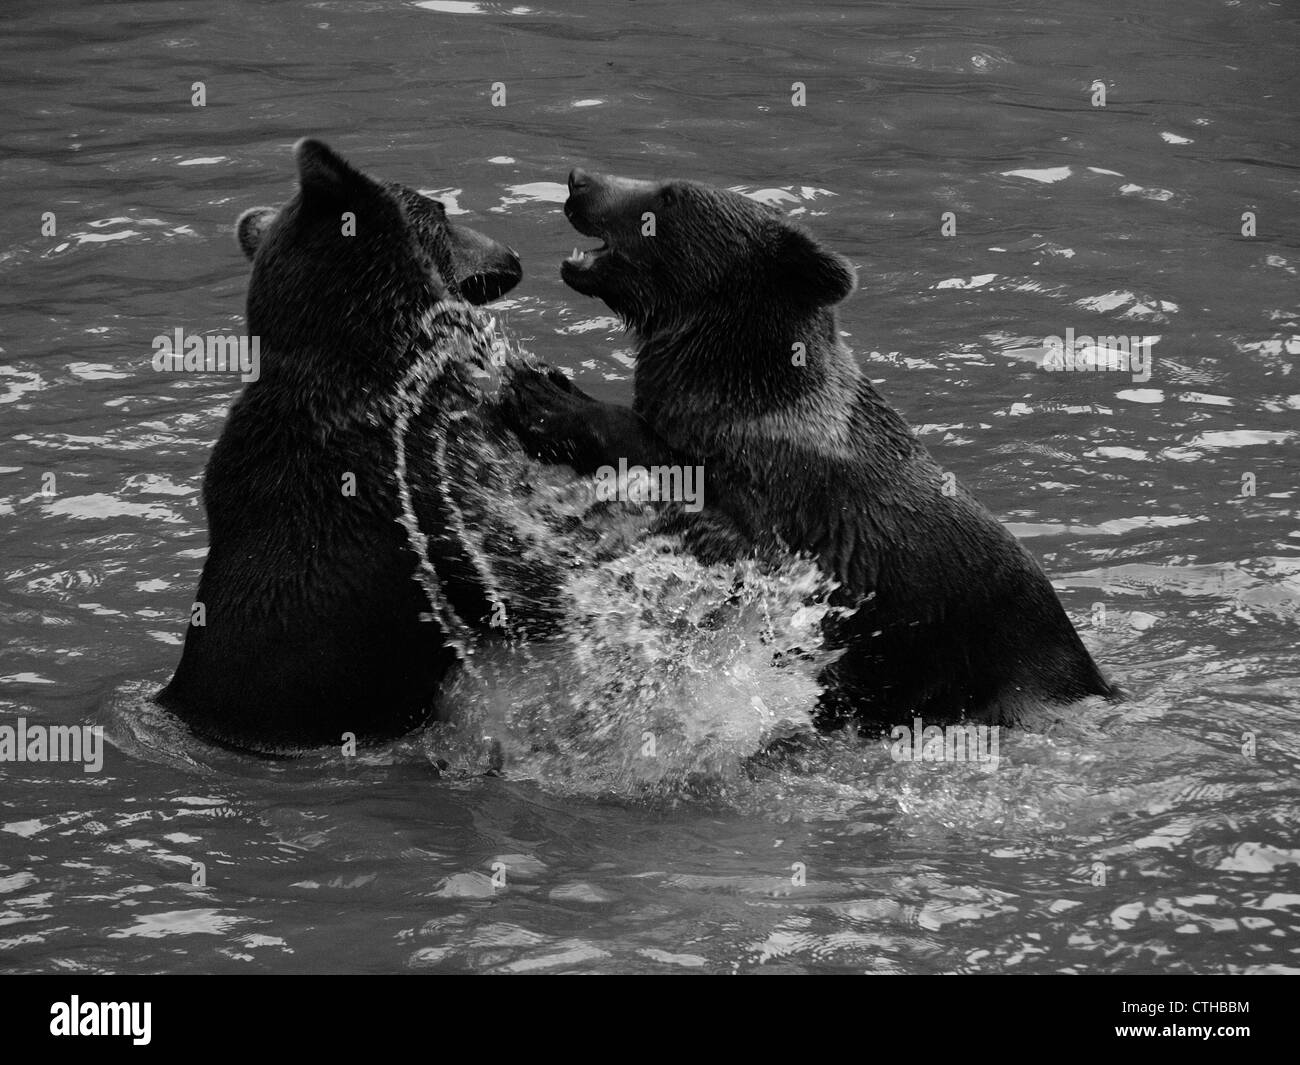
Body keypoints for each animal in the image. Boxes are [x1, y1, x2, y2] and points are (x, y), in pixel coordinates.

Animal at [501, 168, 1116, 730]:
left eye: (669, 196)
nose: (580, 180)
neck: (733, 375)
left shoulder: (786, 500)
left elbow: (699, 496)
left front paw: (547, 395)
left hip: (993, 667)